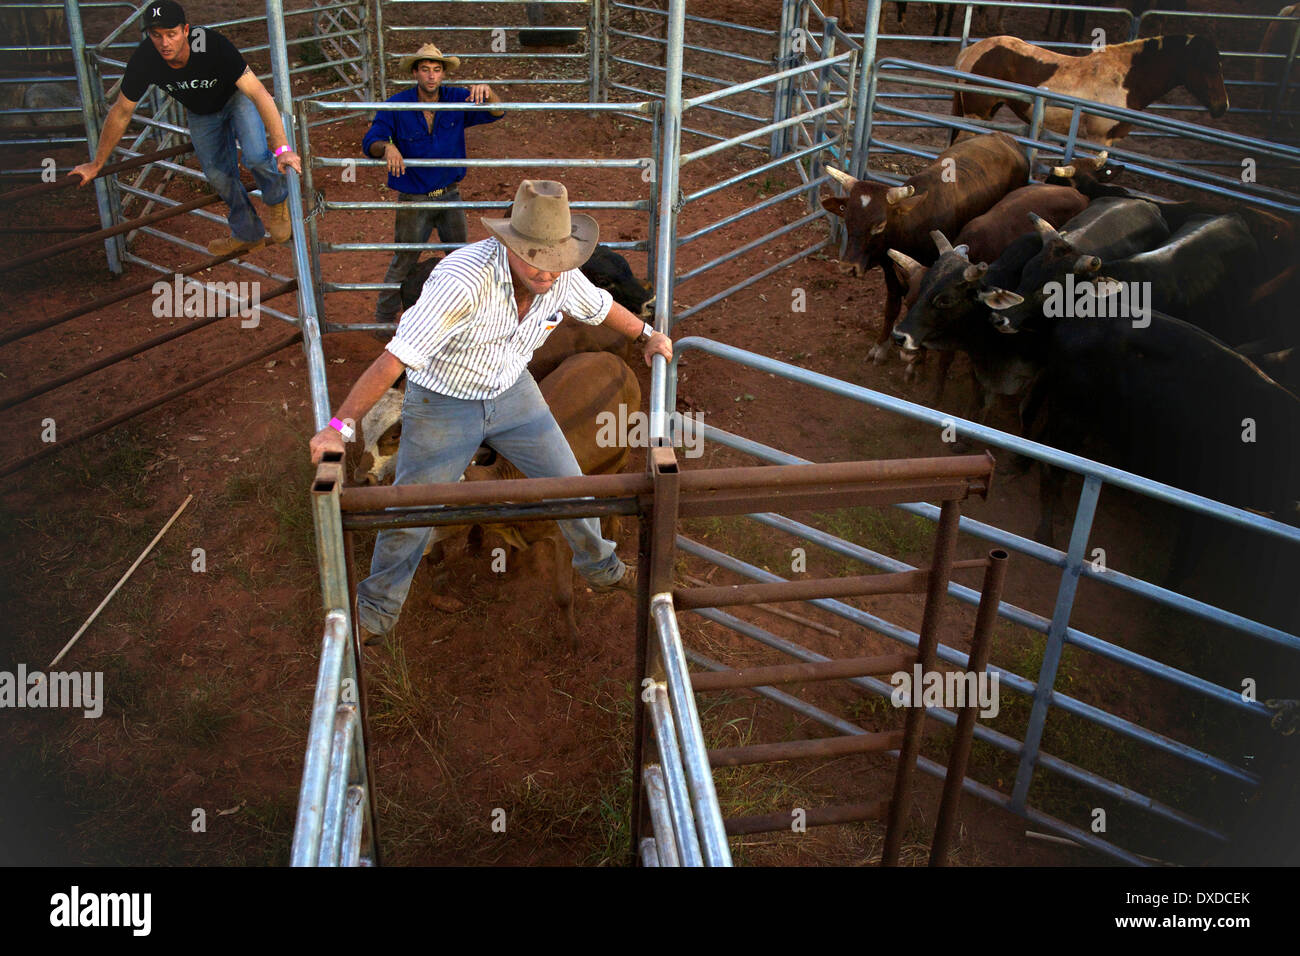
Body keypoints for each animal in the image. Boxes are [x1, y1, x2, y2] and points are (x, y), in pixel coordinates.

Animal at [820, 131, 1028, 378]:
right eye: (847, 218)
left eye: (879, 225)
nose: (848, 267)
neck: (915, 222)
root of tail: (1007, 138)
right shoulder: (891, 269)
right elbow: (892, 307)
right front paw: (880, 347)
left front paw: (916, 362)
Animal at [953, 35, 1229, 146]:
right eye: (1207, 67)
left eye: (1220, 65)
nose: (1222, 106)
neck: (1126, 81)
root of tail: (971, 50)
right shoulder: (1097, 137)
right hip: (976, 113)